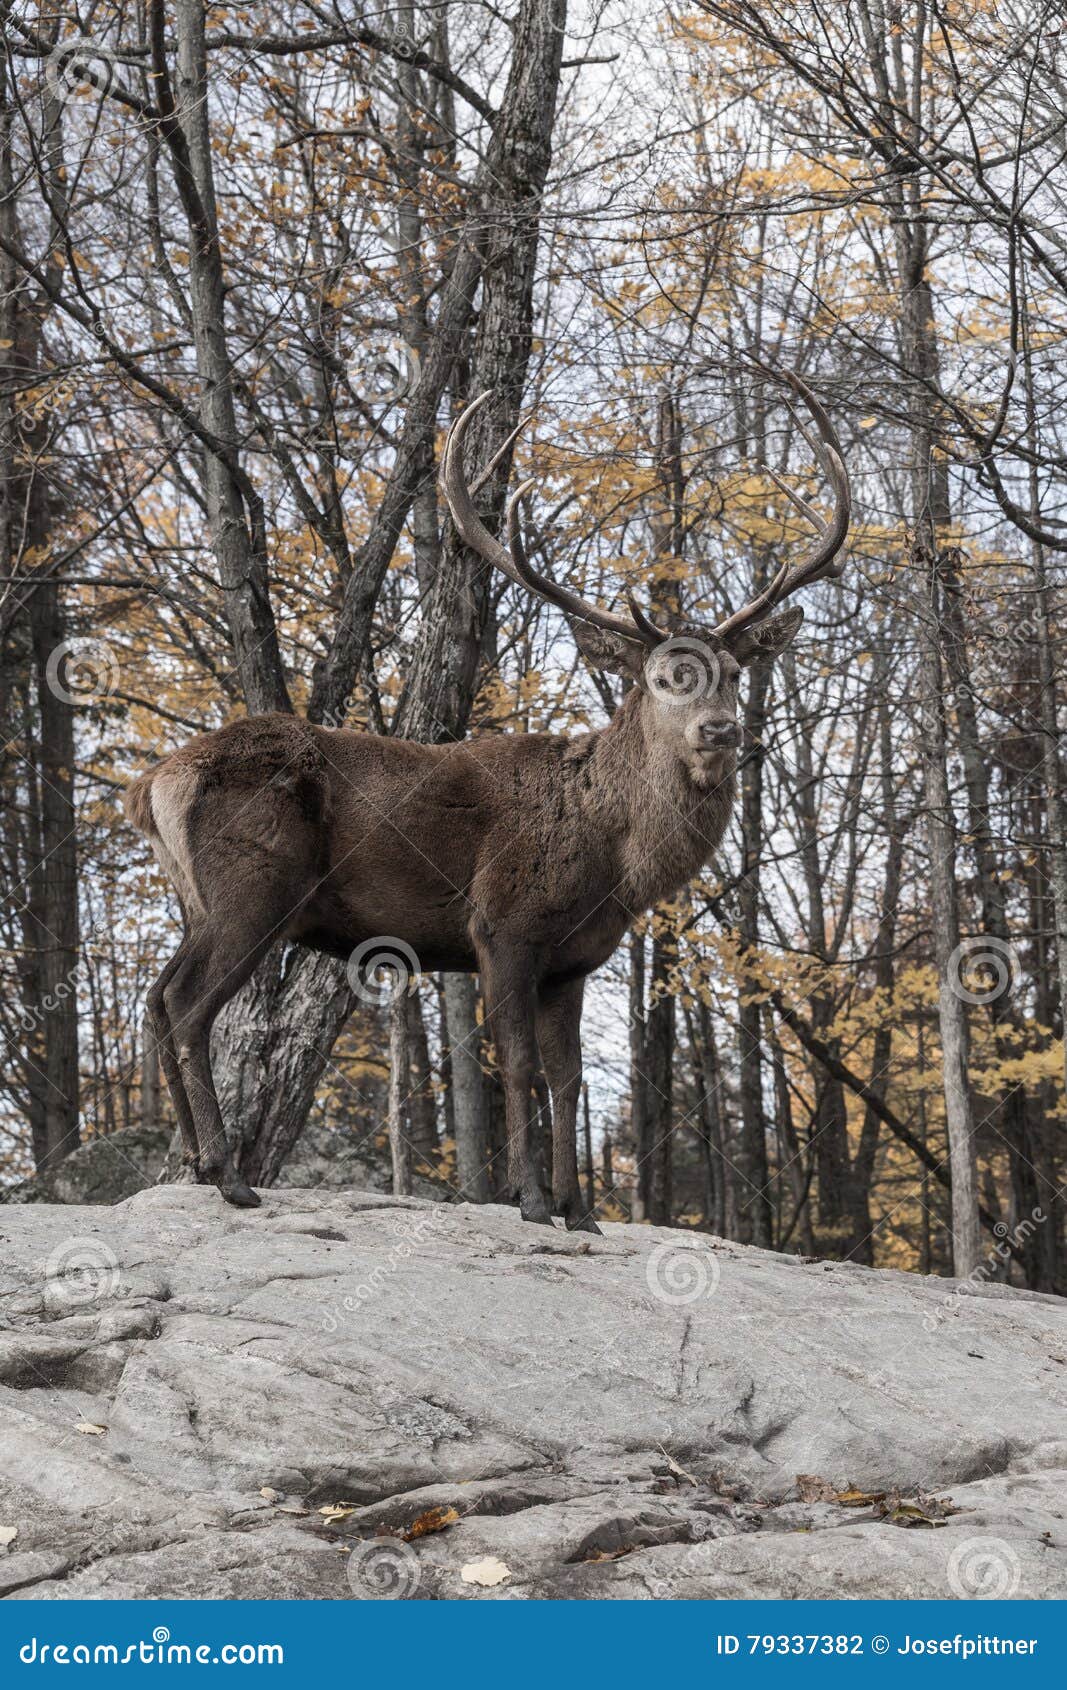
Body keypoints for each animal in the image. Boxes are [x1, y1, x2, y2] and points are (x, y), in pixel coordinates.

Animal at [124, 367, 849, 1230]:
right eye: (662, 675)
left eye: (734, 672)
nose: (720, 729)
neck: (613, 861)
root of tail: (154, 781)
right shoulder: (501, 925)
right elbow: (522, 1068)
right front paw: (532, 1200)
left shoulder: (576, 960)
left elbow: (568, 1078)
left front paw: (581, 1210)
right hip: (254, 884)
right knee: (191, 1005)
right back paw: (228, 1174)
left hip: (196, 896)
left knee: (158, 994)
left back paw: (198, 1167)